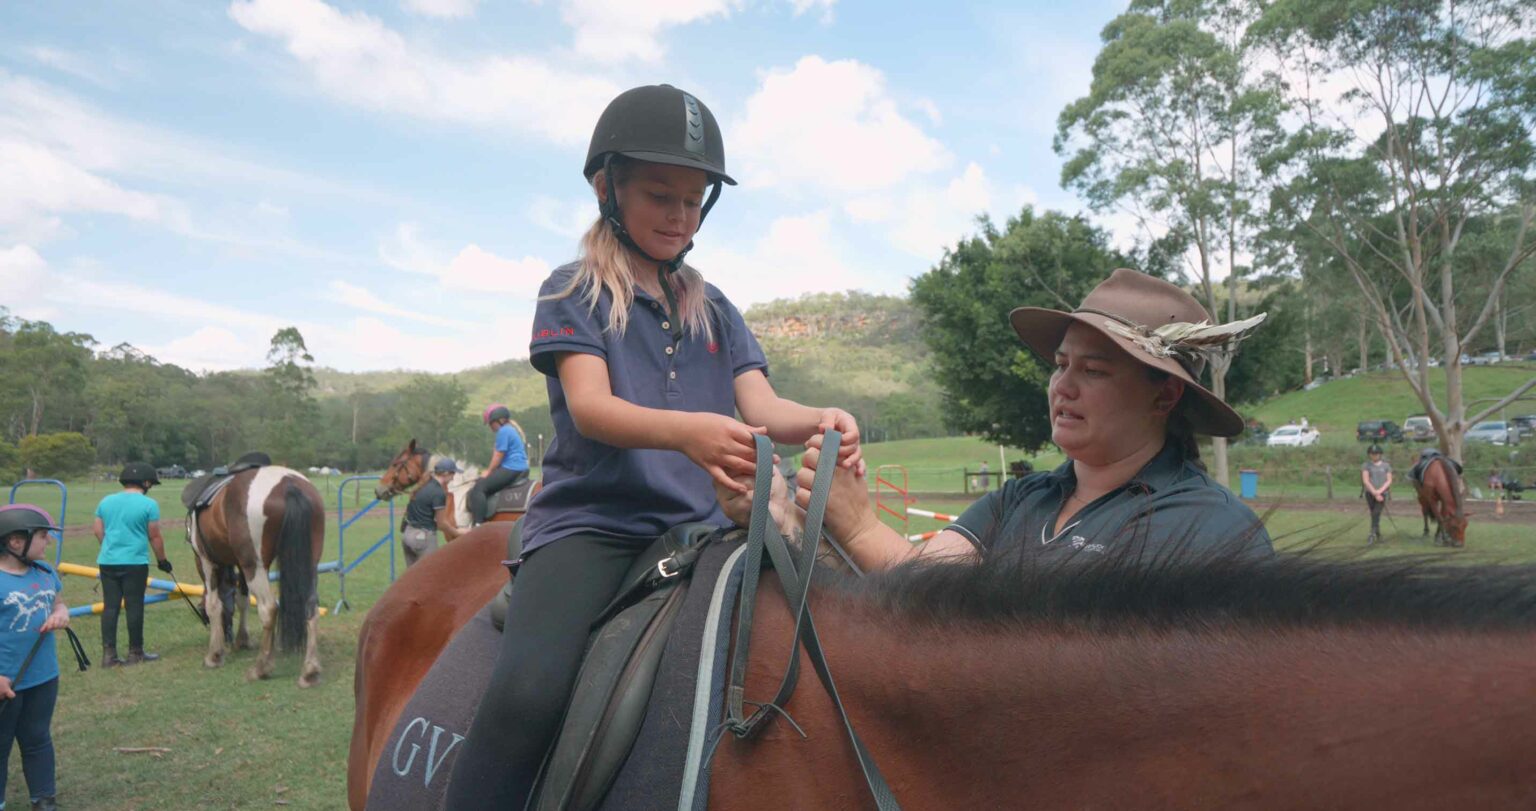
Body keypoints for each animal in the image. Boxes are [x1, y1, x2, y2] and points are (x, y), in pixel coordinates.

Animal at [189, 465, 326, 687]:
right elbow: (242, 600)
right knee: (310, 606)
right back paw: (310, 671)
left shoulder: (206, 561)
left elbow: (214, 604)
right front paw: (242, 640)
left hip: (255, 566)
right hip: (309, 563)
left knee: (268, 608)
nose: (227, 636)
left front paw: (214, 655)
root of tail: (288, 483)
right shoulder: (238, 565)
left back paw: (261, 668)